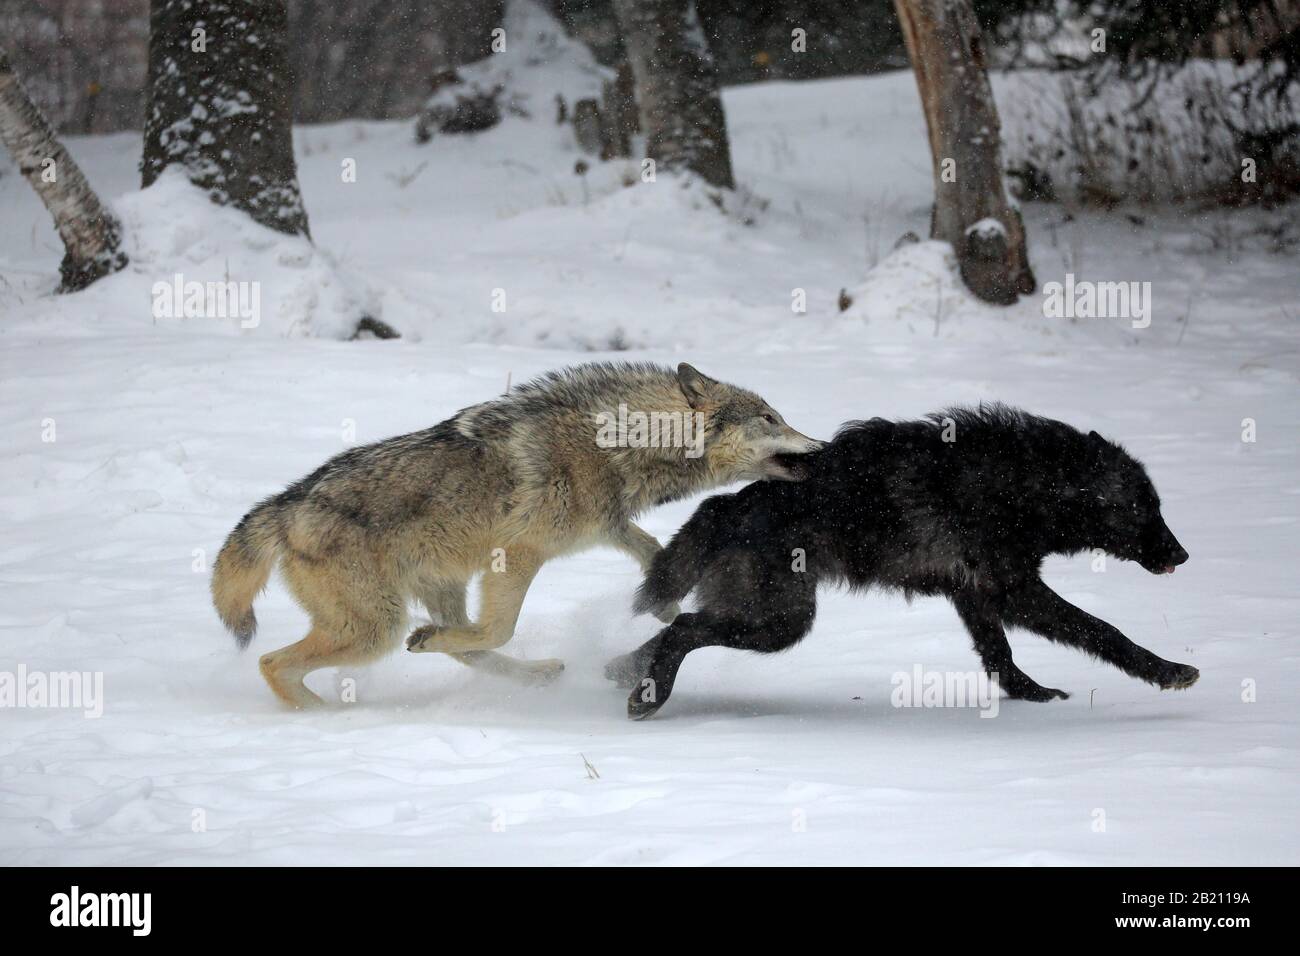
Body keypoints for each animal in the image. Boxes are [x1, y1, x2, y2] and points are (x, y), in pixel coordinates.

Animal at [211, 362, 822, 707]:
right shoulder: (520, 553)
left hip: (432, 592)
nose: (820, 447)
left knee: (466, 649)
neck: (617, 442)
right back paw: (326, 719)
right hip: (375, 629)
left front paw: (667, 605)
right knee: (274, 664)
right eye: (770, 419)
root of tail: (284, 505)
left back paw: (531, 675)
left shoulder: (605, 526)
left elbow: (651, 553)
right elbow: (501, 628)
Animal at [608, 404, 1198, 719]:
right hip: (783, 624)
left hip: (769, 619)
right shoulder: (1015, 592)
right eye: (1146, 509)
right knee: (684, 626)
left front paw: (1031, 696)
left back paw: (624, 672)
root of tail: (729, 504)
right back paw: (648, 697)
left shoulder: (975, 595)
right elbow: (1104, 630)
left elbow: (999, 656)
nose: (1184, 554)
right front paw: (1169, 672)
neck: (1022, 485)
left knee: (670, 631)